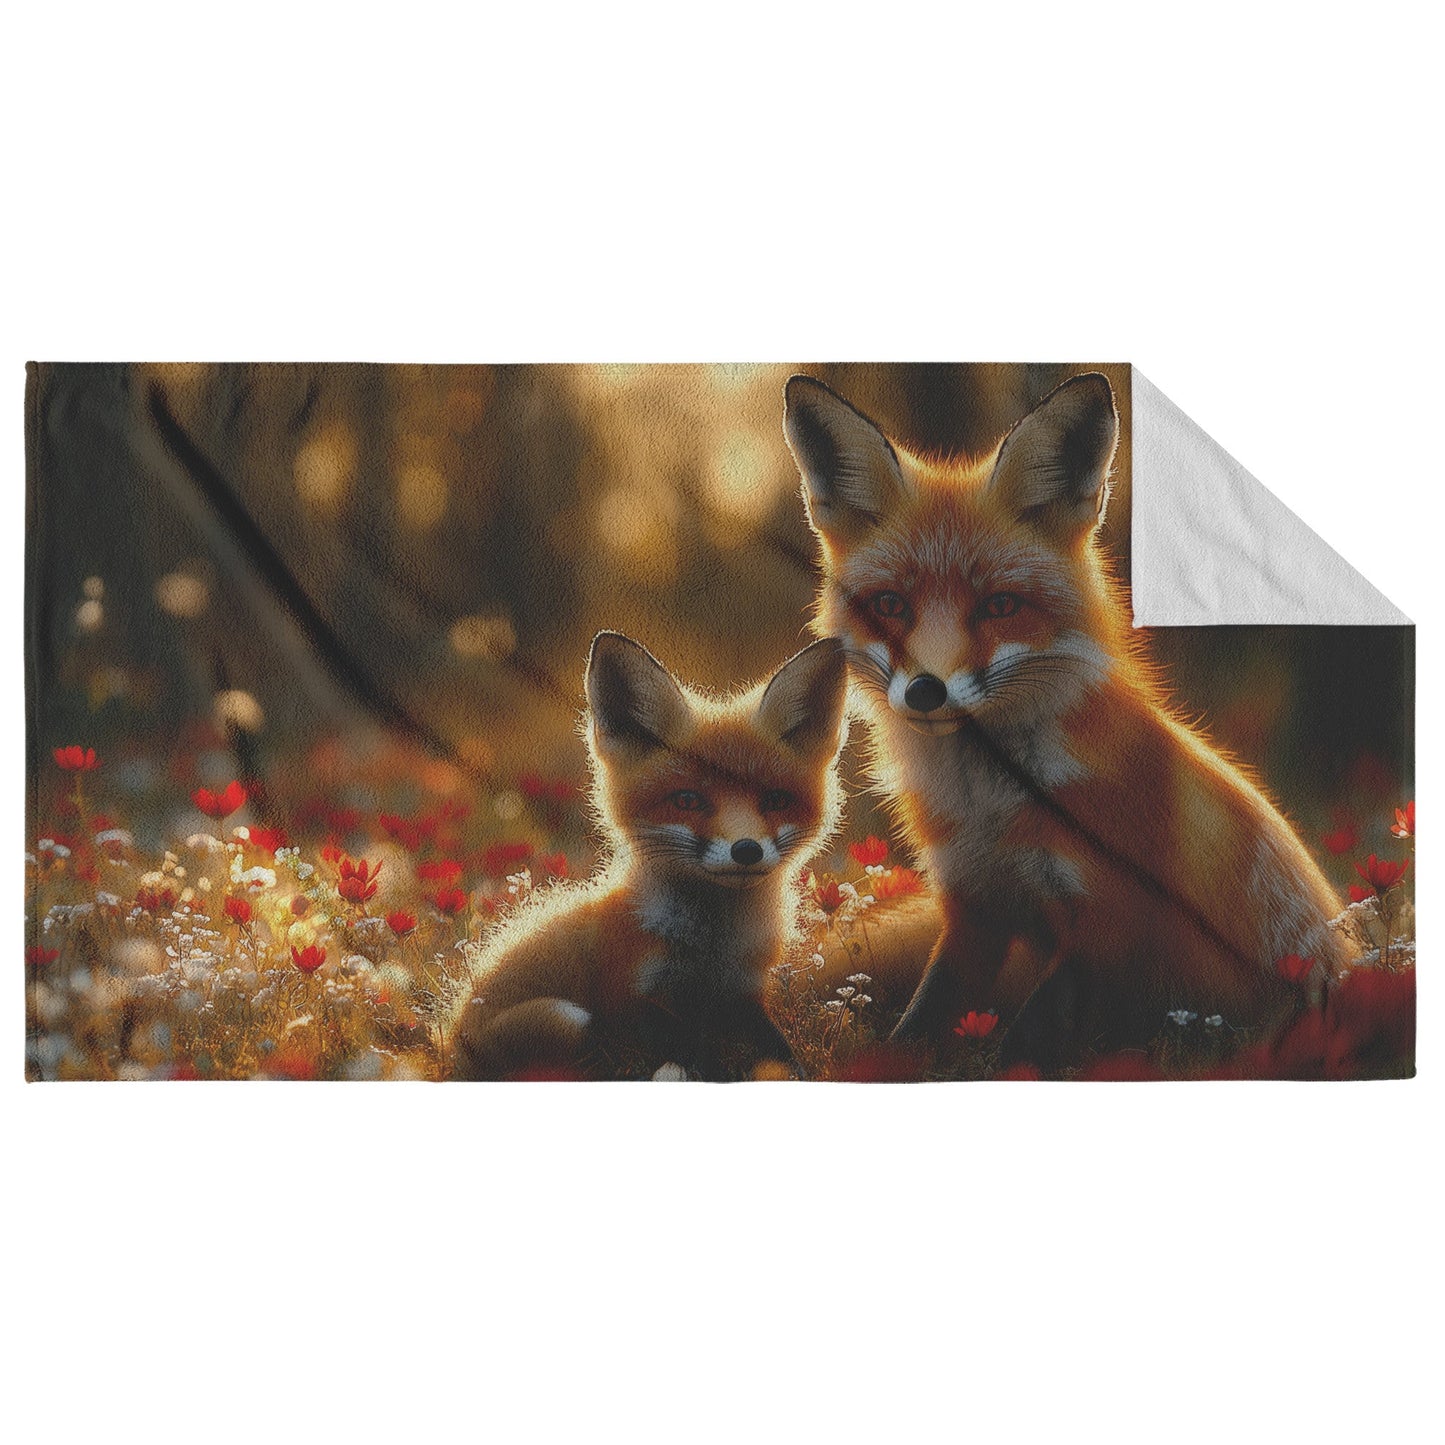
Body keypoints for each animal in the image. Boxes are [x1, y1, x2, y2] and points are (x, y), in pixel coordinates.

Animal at [444, 630, 848, 1080]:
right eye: (687, 800)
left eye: (776, 800)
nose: (747, 850)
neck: (713, 947)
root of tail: (451, 1040)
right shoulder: (629, 997)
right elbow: (690, 1049)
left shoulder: (743, 992)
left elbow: (781, 1053)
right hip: (564, 1019)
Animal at [783, 371, 1351, 1069]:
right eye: (890, 605)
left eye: (1000, 606)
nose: (925, 691)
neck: (990, 808)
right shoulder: (973, 909)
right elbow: (921, 1023)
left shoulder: (1107, 922)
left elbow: (1019, 1050)